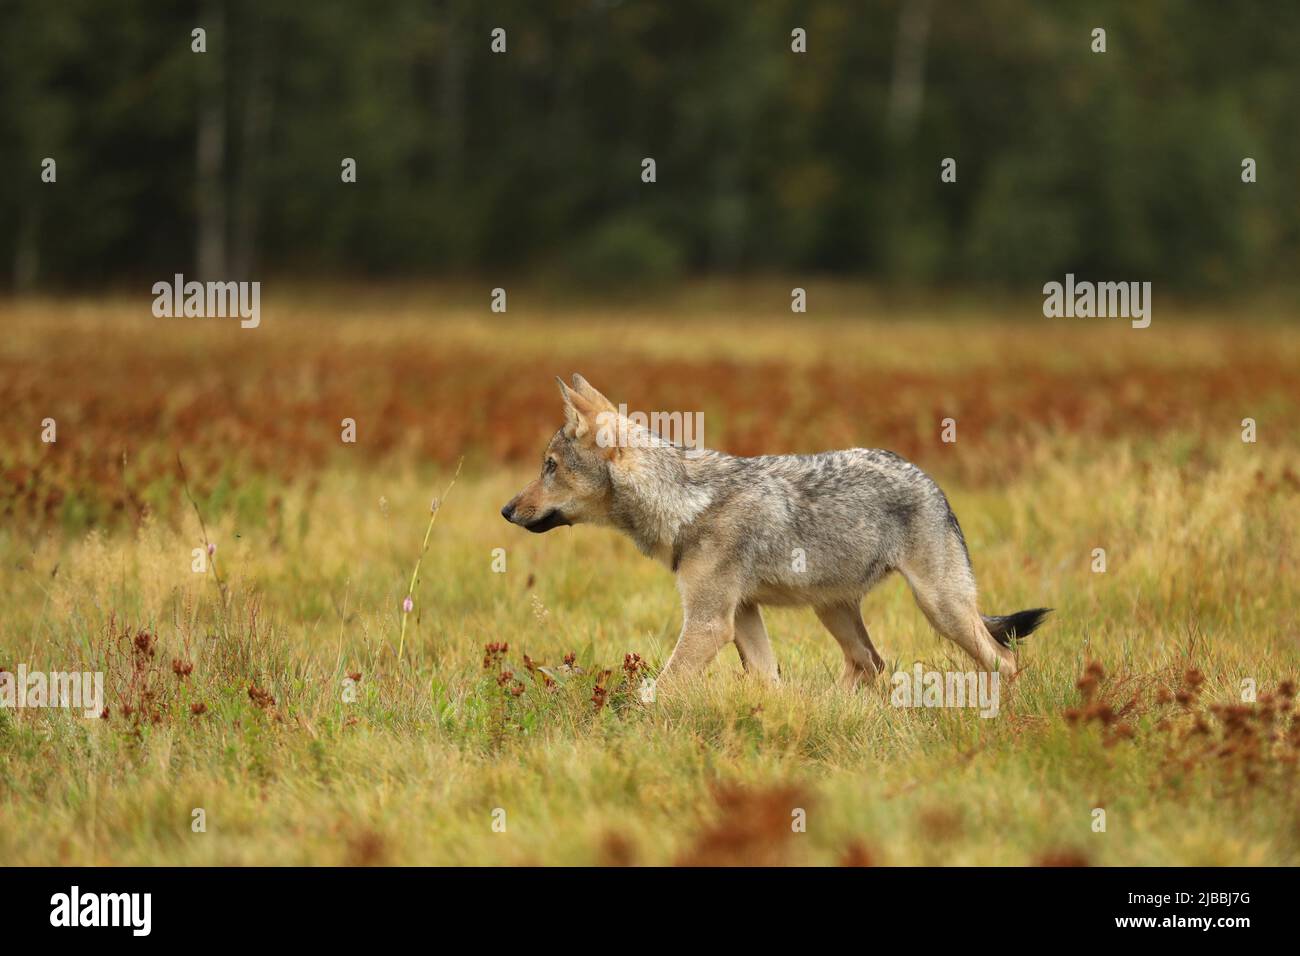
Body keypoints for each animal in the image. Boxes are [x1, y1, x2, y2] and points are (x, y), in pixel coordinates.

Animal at [501, 374, 1050, 688]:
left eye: (549, 467)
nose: (505, 510)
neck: (682, 504)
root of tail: (928, 477)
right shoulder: (742, 616)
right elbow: (768, 683)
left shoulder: (709, 623)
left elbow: (659, 691)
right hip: (834, 610)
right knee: (872, 664)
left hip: (941, 609)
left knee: (1003, 661)